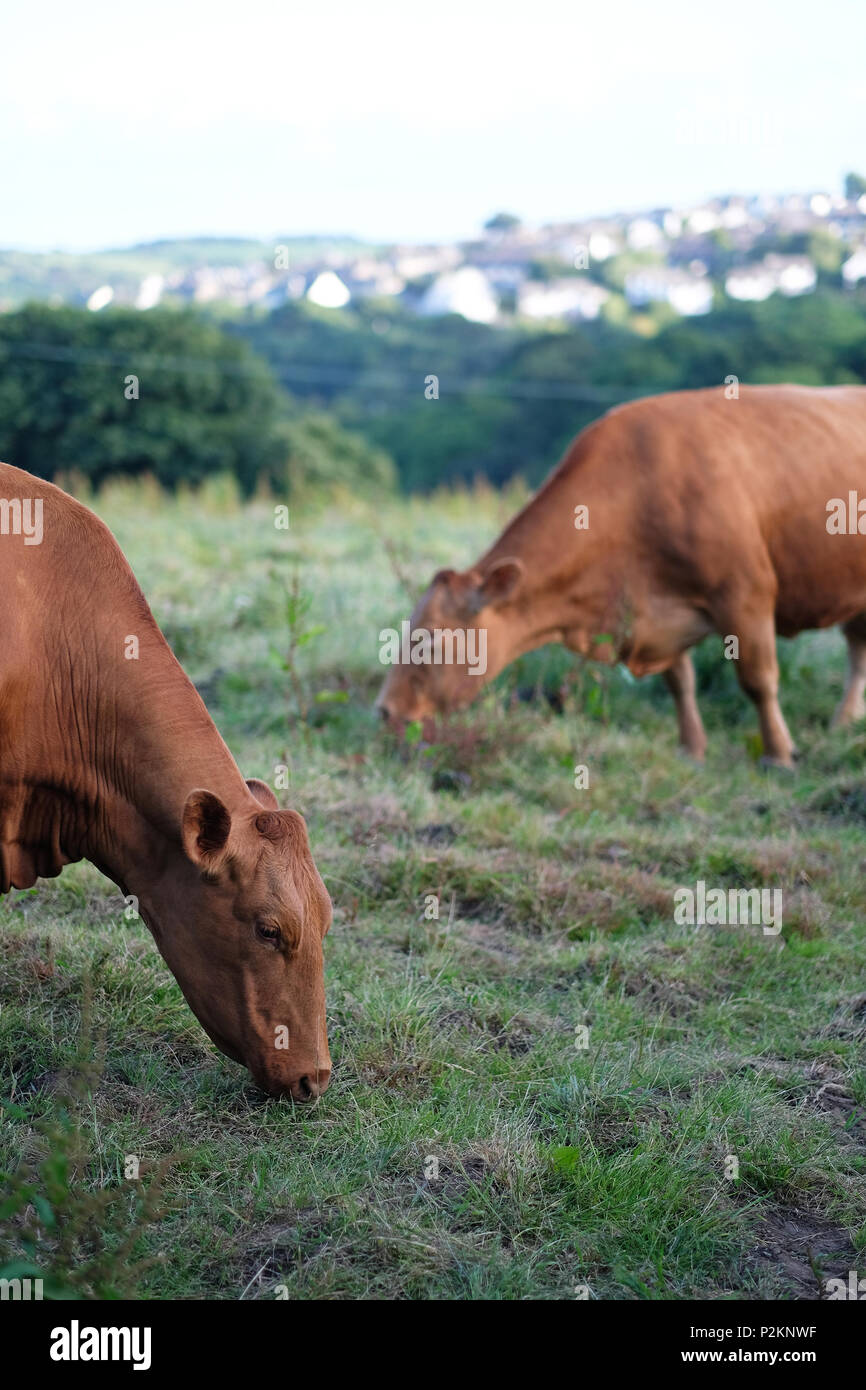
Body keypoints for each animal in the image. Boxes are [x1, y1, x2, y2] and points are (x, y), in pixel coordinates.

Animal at [378, 385, 866, 768]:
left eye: (431, 641)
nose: (384, 711)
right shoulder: (656, 610)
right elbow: (679, 682)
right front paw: (692, 749)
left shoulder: (745, 594)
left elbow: (758, 681)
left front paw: (779, 755)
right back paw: (845, 721)